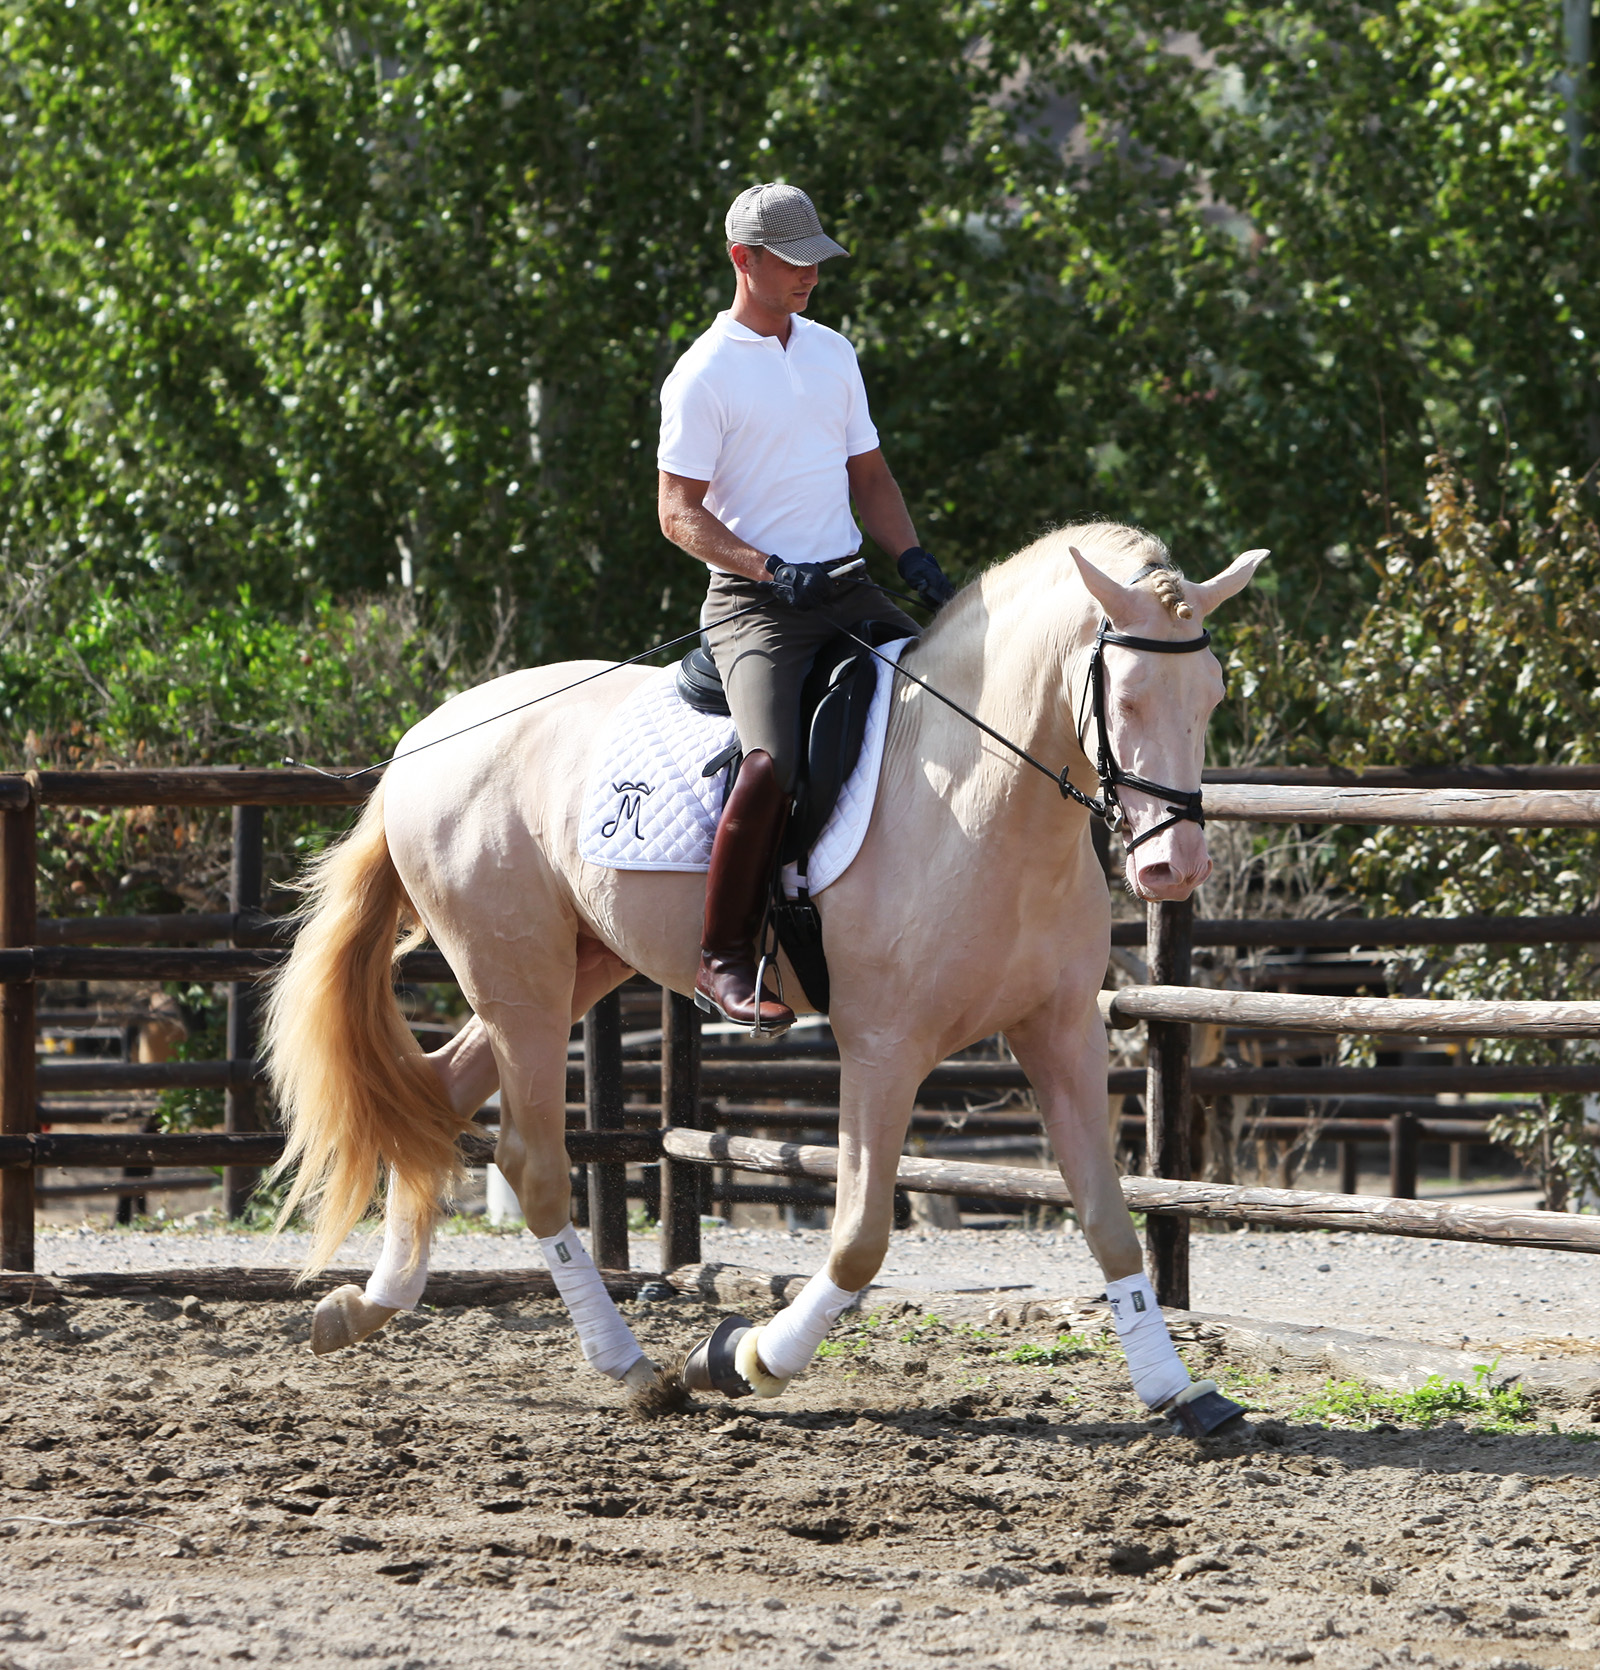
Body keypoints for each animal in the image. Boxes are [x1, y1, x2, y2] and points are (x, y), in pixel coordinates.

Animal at [263, 521, 1266, 1431]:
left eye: (1211, 692)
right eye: (1125, 697)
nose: (1173, 868)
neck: (980, 794)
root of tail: (422, 740)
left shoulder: (1060, 1031)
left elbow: (1108, 1219)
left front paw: (1181, 1392)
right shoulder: (882, 1048)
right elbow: (860, 1241)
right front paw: (744, 1359)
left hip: (579, 962)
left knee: (438, 1096)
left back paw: (365, 1307)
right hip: (518, 974)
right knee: (528, 1162)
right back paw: (632, 1368)